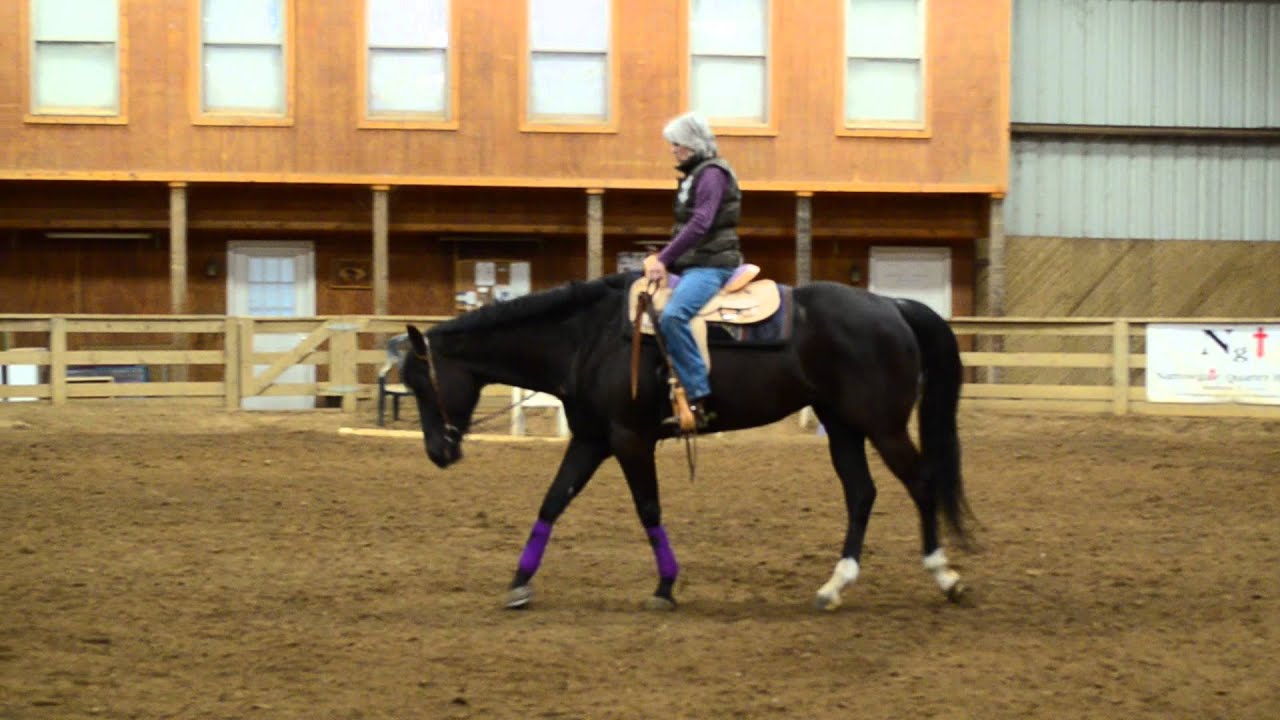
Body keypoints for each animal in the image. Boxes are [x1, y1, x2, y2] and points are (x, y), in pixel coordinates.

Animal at [399, 271, 972, 611]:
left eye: (421, 381)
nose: (437, 451)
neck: (586, 338)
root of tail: (892, 305)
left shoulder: (629, 439)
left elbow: (648, 509)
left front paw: (666, 586)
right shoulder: (591, 439)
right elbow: (553, 501)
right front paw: (519, 581)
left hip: (883, 425)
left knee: (921, 483)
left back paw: (945, 577)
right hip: (845, 427)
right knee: (861, 494)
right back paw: (835, 585)